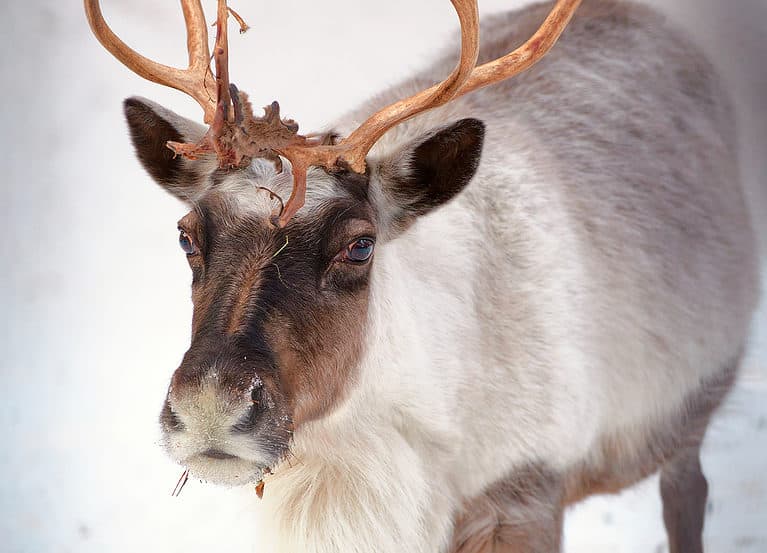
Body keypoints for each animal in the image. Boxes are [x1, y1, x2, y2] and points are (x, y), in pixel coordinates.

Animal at [84, 0, 759, 551]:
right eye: (186, 236)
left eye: (360, 246)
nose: (209, 407)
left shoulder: (522, 492)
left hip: (690, 413)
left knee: (688, 496)